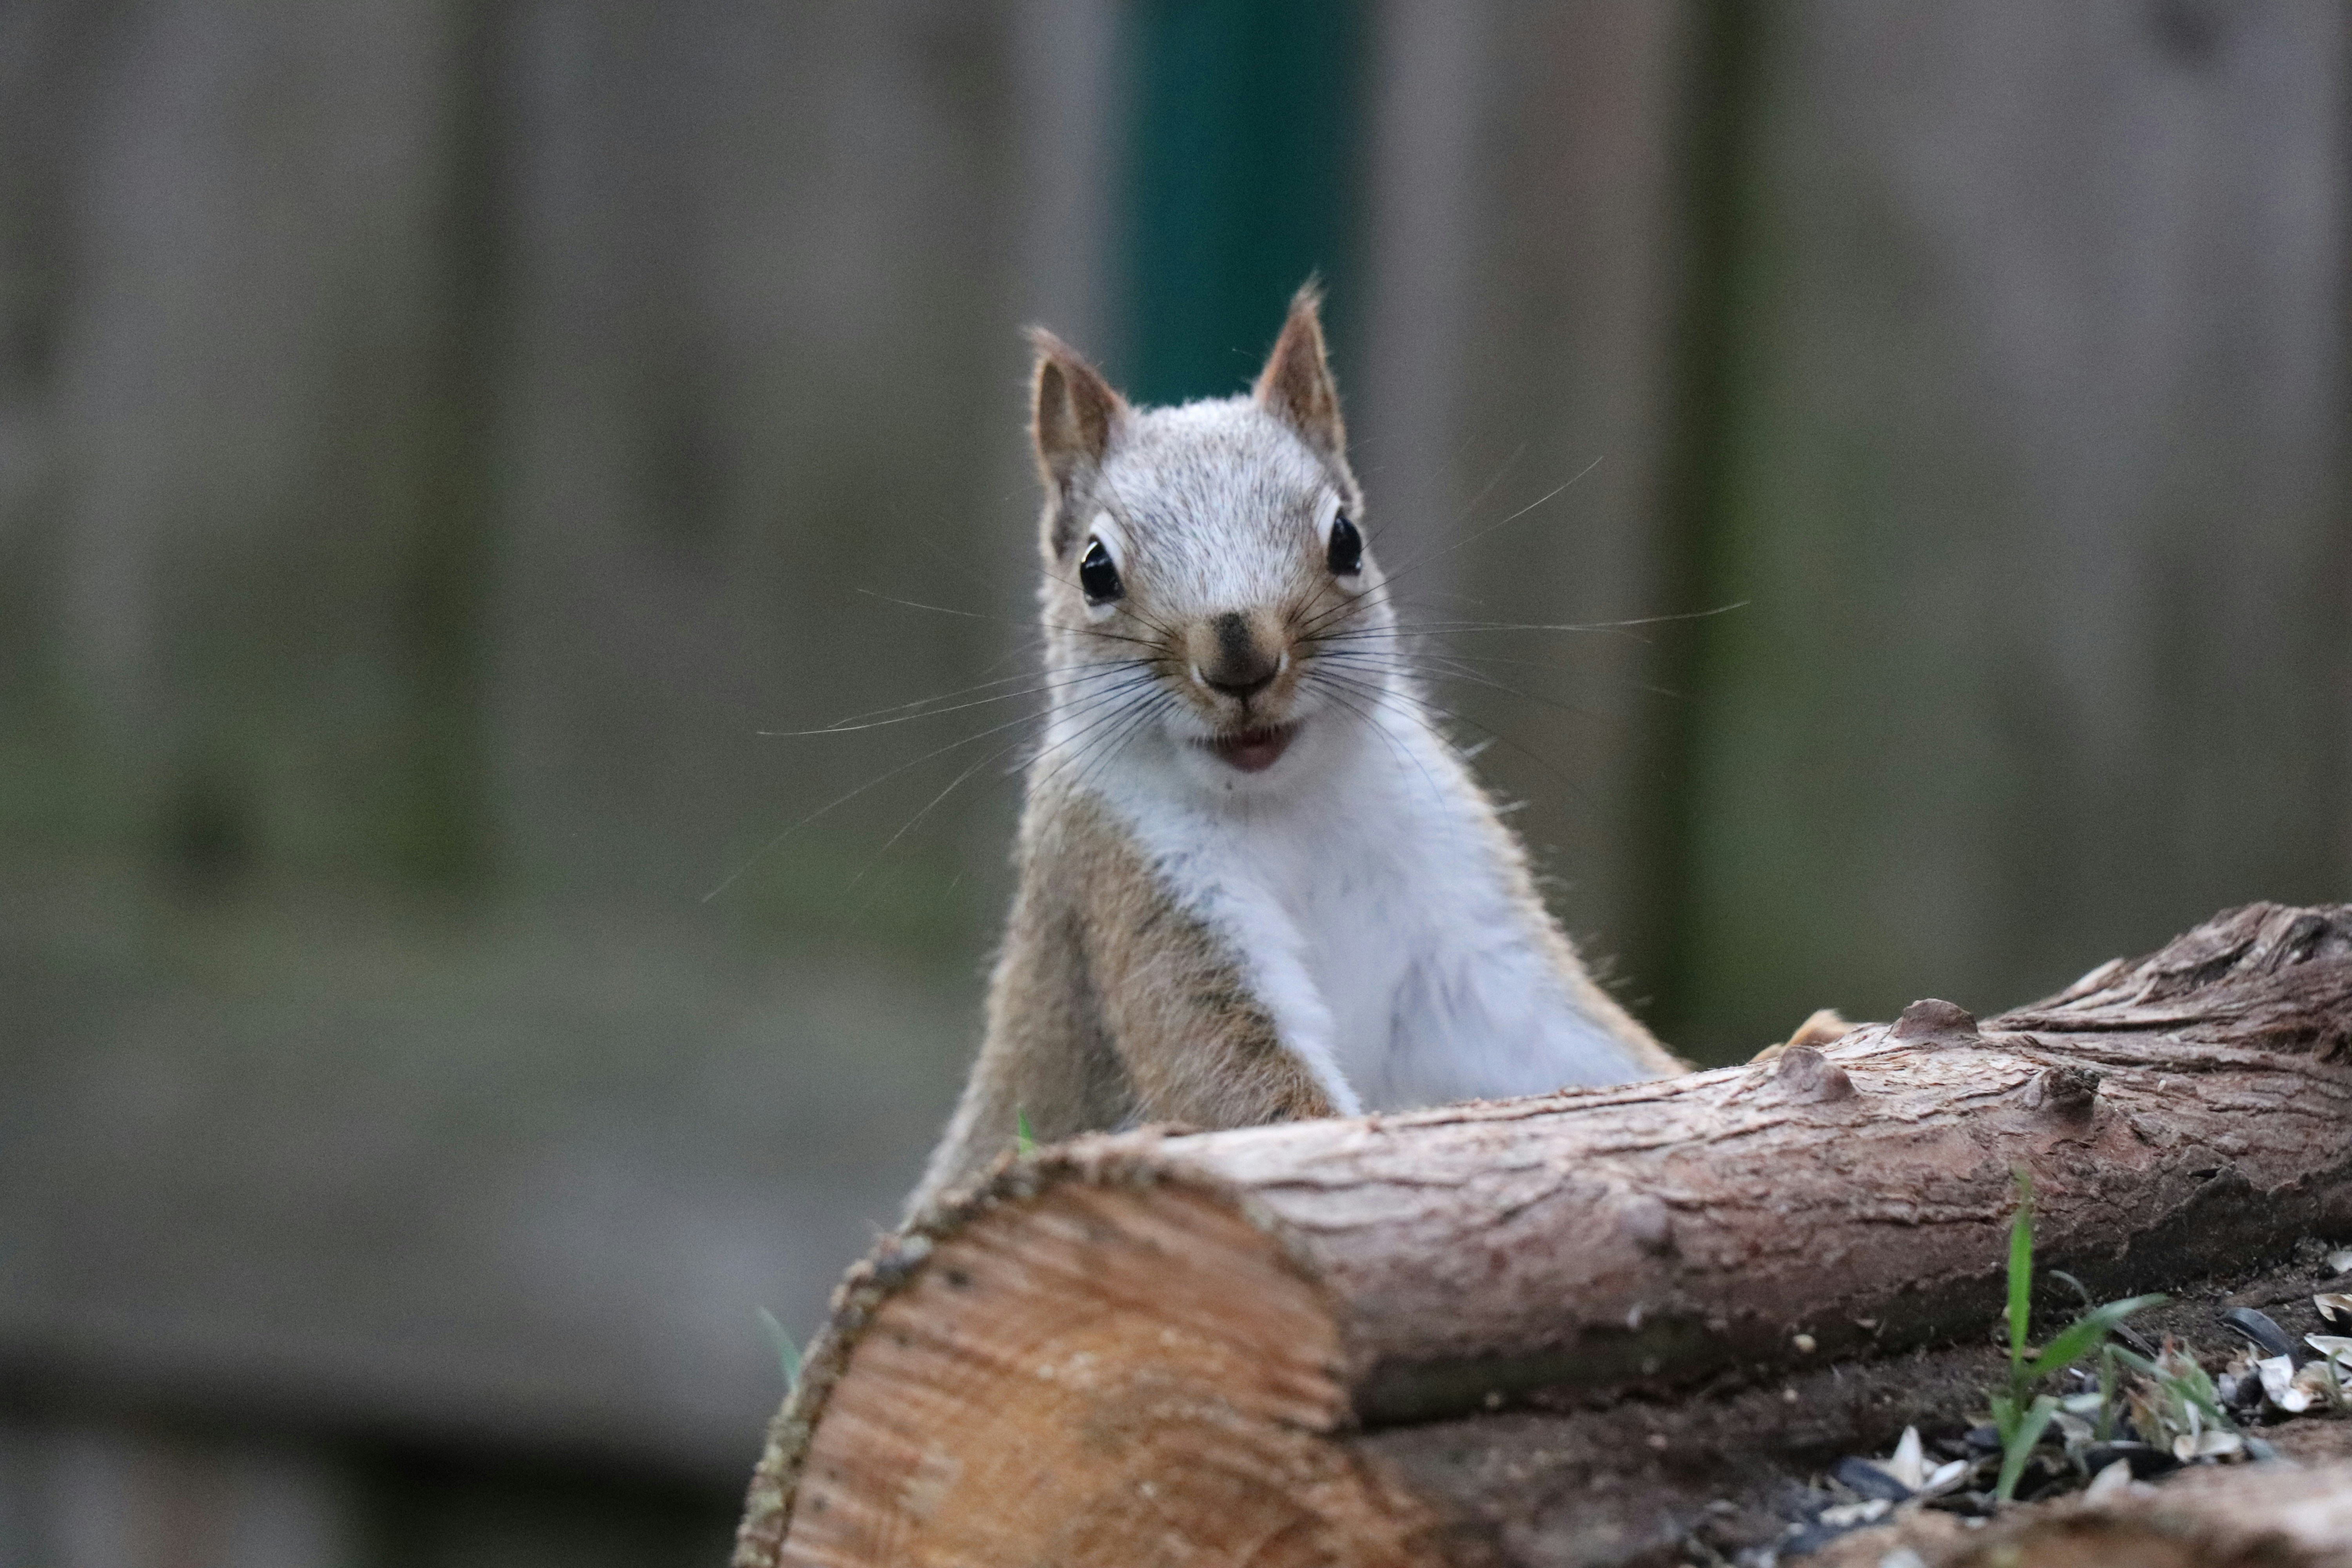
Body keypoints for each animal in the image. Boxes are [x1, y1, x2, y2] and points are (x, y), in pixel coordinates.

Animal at [907, 284, 1688, 1215]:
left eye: (1348, 538)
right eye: (1095, 569)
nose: (1241, 658)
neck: (1284, 803)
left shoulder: (1455, 914)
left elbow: (1548, 1029)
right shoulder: (1130, 885)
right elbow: (1231, 1077)